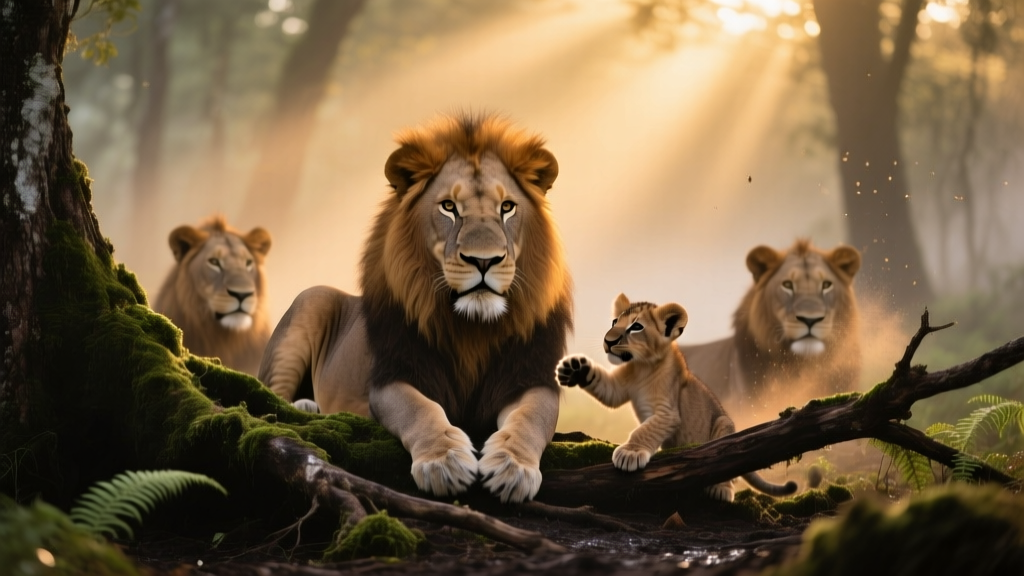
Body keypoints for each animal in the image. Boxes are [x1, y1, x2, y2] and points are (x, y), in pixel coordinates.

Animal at [259, 113, 573, 503]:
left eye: (507, 207)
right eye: (449, 207)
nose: (483, 261)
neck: (473, 326)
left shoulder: (532, 375)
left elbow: (531, 418)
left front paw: (512, 468)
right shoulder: (393, 376)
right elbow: (420, 409)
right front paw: (445, 462)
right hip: (309, 304)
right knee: (269, 394)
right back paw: (305, 406)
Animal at [557, 293, 797, 502]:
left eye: (636, 327)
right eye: (615, 321)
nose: (608, 341)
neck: (639, 367)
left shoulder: (668, 412)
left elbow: (645, 430)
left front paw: (629, 454)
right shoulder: (618, 387)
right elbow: (606, 390)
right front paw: (574, 368)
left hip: (723, 424)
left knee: (729, 462)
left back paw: (721, 489)